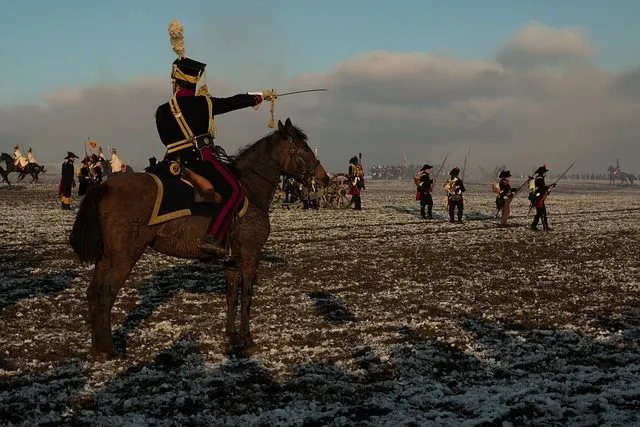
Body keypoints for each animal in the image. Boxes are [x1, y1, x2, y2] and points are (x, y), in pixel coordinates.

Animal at [69, 118, 330, 360]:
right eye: (304, 148)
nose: (324, 178)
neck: (250, 188)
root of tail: (103, 187)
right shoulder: (250, 255)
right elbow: (246, 296)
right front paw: (247, 340)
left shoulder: (232, 261)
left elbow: (231, 295)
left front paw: (232, 335)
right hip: (125, 255)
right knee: (105, 295)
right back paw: (110, 350)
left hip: (106, 257)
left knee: (93, 293)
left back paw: (96, 349)